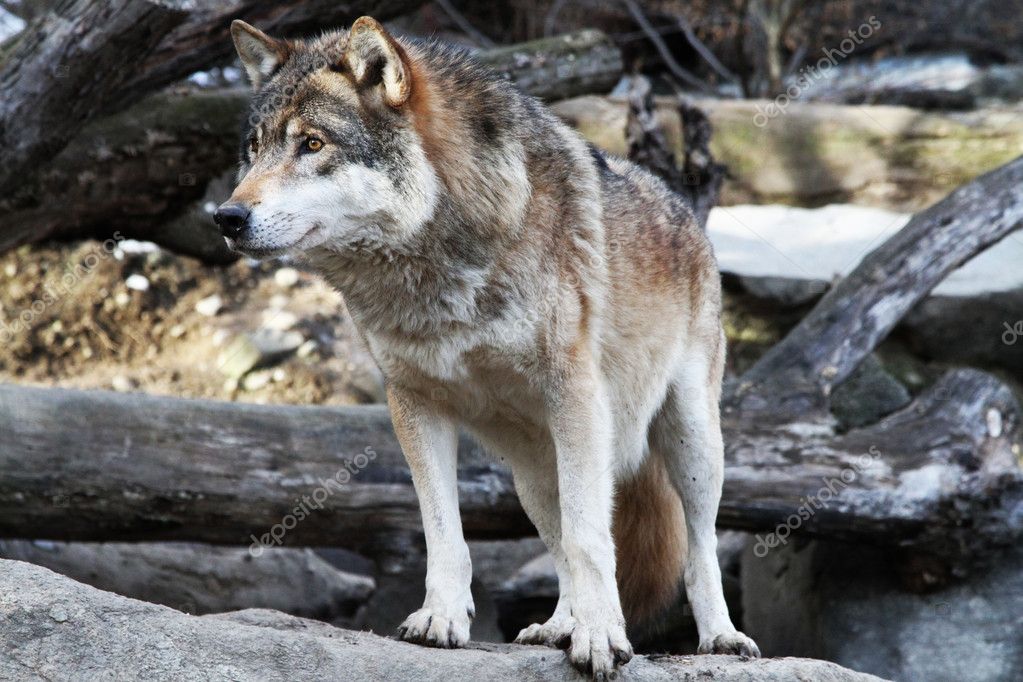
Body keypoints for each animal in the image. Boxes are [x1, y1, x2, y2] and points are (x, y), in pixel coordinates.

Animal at [218, 16, 759, 677]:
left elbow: (592, 538)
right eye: (254, 149)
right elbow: (445, 533)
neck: (434, 268)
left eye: (313, 145)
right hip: (534, 472)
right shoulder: (414, 403)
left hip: (690, 441)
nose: (226, 216)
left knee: (697, 545)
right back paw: (559, 626)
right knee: (559, 545)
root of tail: (684, 208)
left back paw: (720, 637)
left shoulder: (576, 396)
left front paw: (602, 637)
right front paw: (443, 619)